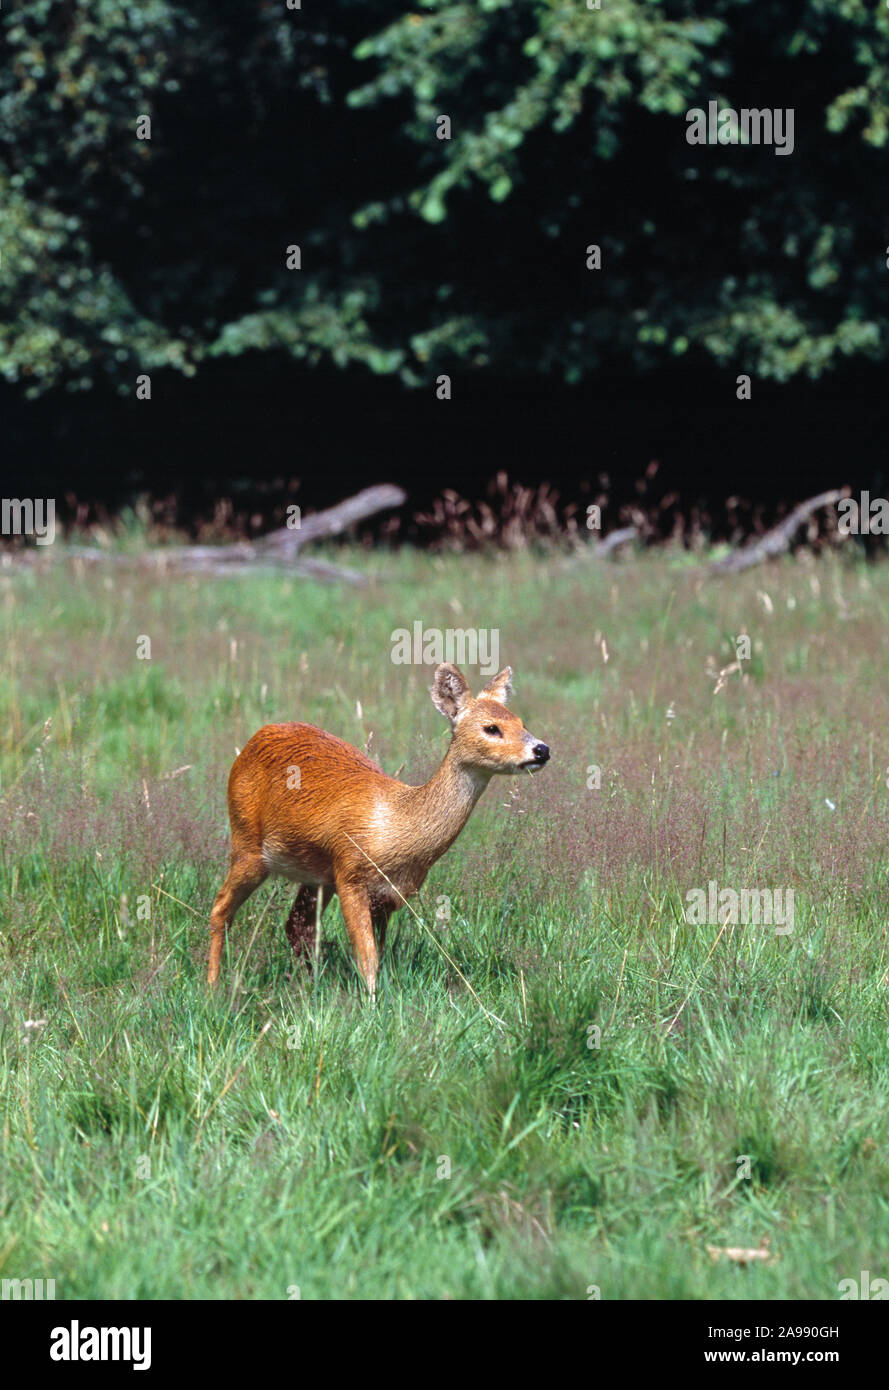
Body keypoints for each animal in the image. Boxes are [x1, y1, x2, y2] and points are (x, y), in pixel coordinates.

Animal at [207, 663, 550, 996]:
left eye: (522, 722)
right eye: (491, 728)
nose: (542, 750)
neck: (397, 824)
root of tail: (253, 740)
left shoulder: (389, 895)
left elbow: (379, 954)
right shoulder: (351, 874)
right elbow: (367, 958)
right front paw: (371, 1005)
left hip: (316, 874)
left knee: (297, 925)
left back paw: (307, 985)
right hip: (247, 843)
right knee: (221, 907)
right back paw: (212, 987)